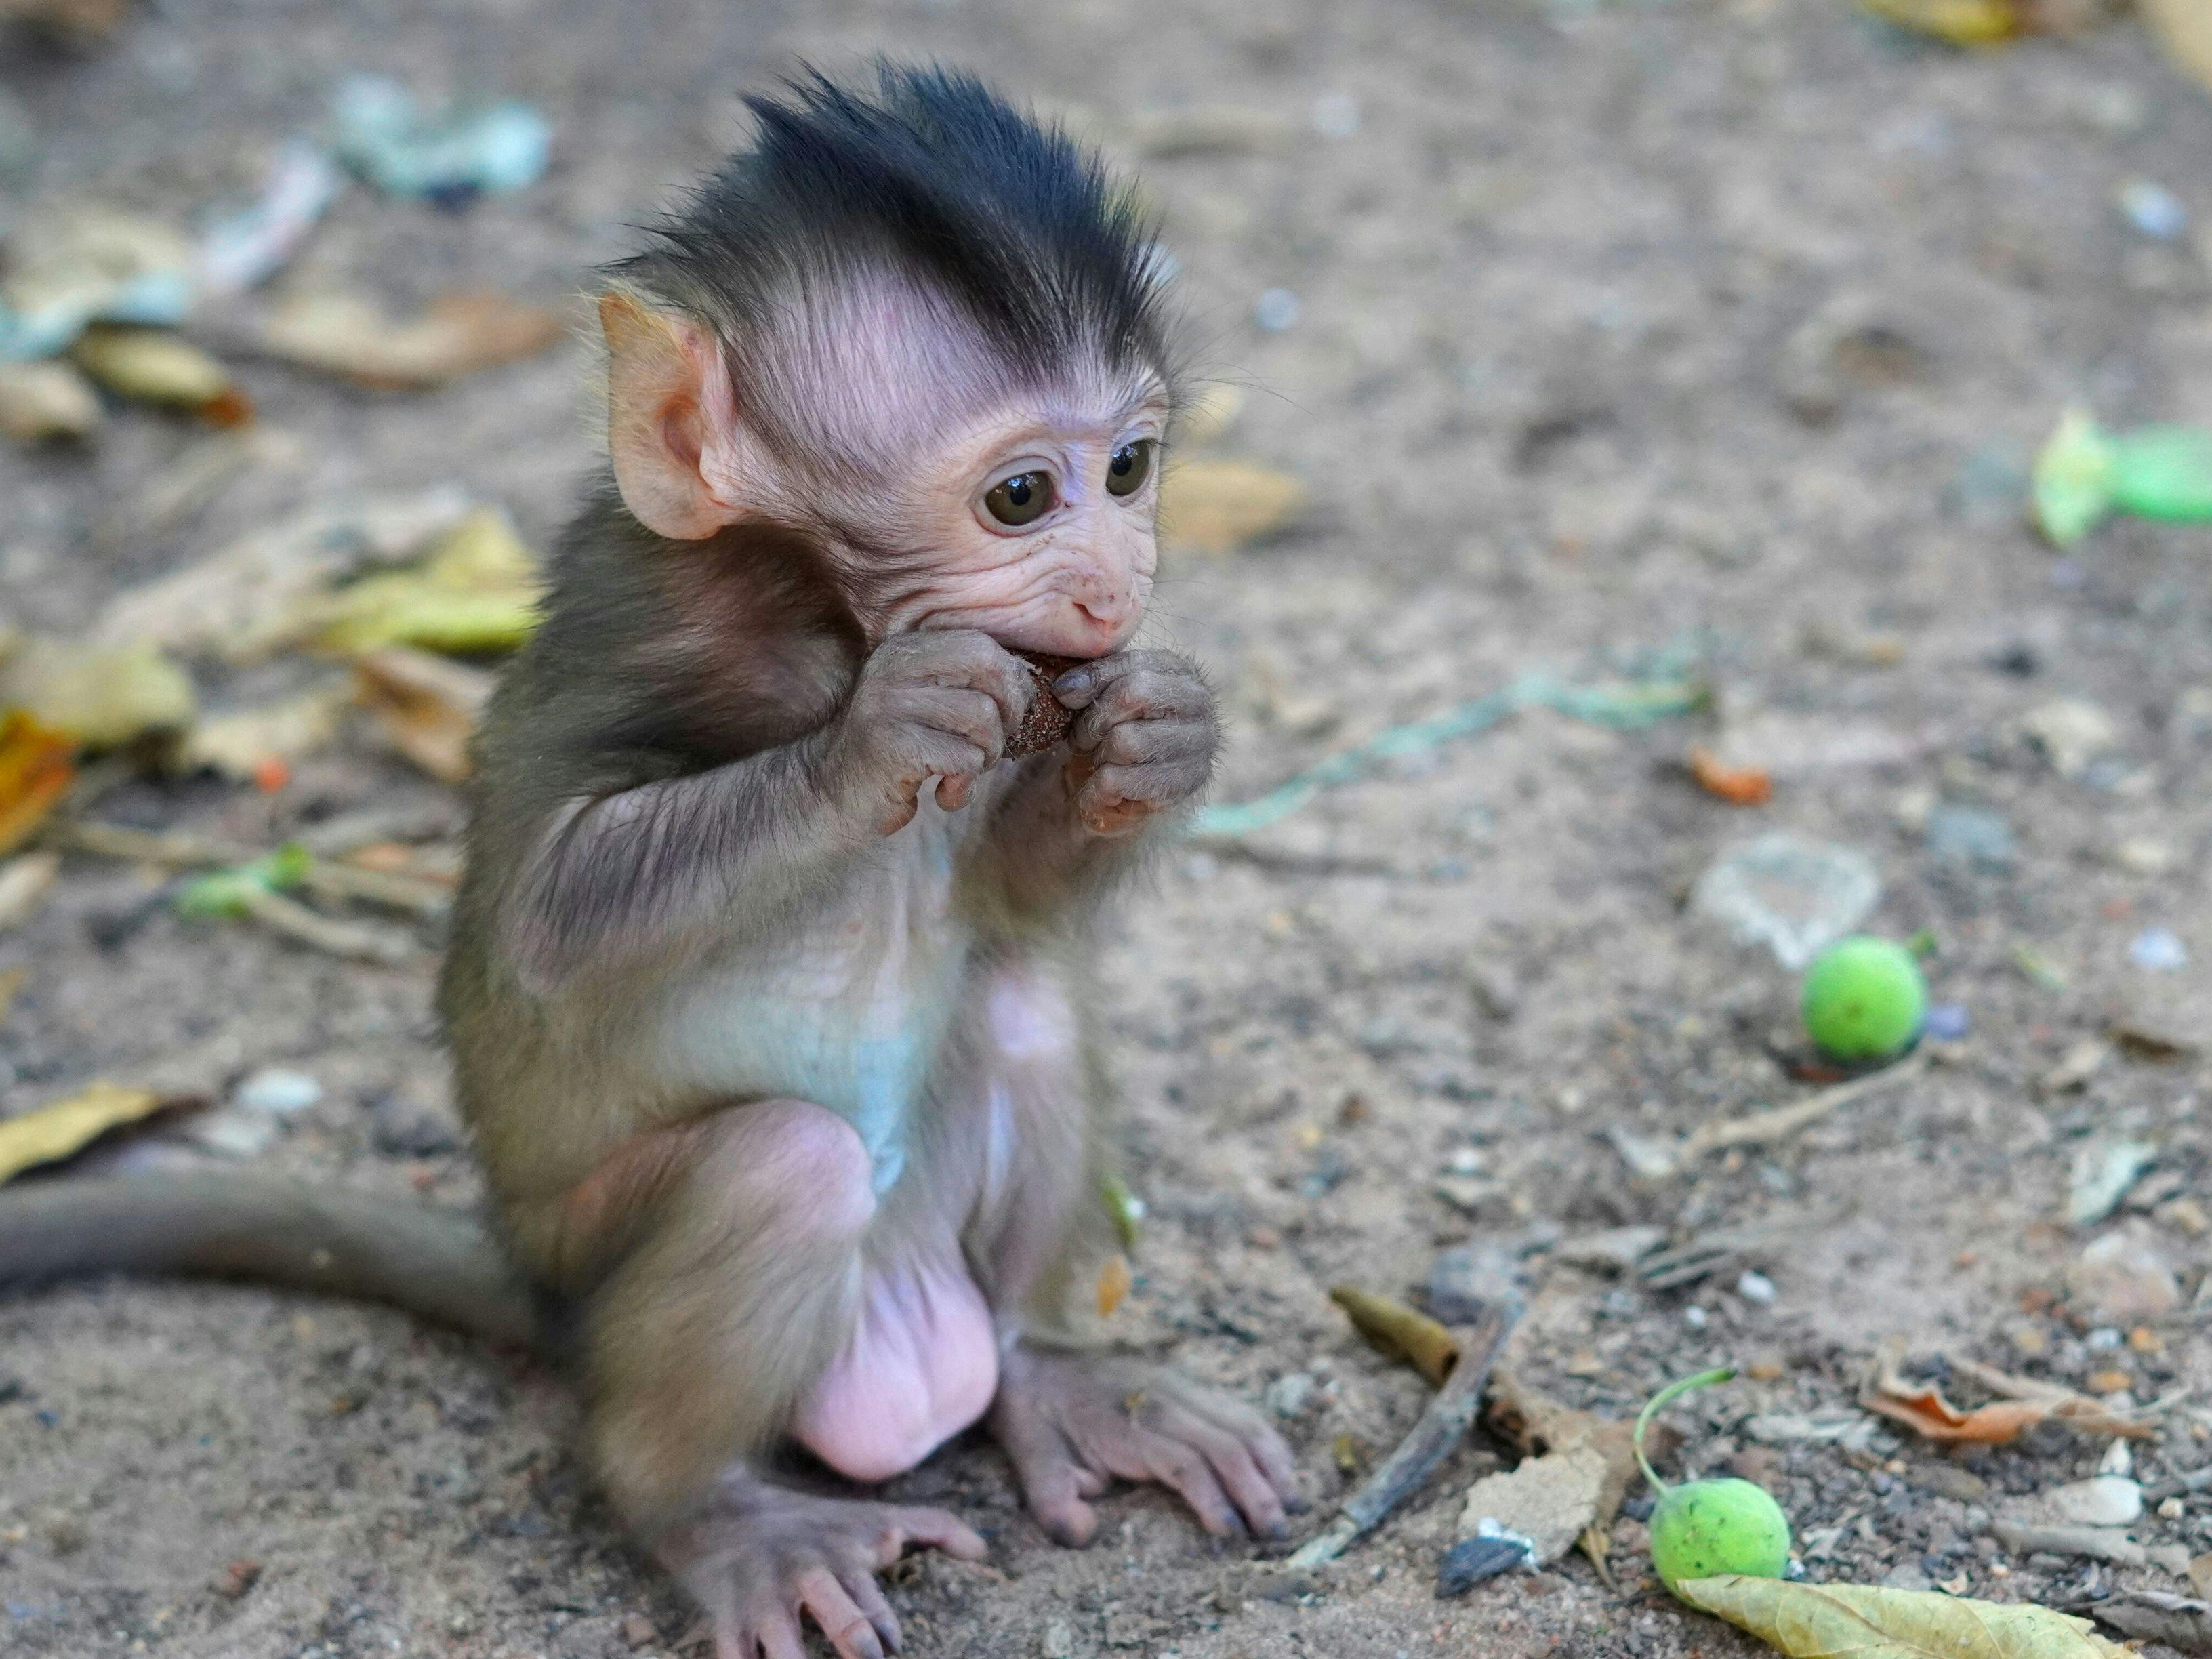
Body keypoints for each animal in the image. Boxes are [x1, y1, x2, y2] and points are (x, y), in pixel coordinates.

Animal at [0, 67, 1300, 1659]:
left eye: (1128, 467)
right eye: (1018, 498)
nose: (1118, 584)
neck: (825, 609)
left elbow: (1007, 899)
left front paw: (1159, 736)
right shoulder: (651, 624)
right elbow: (549, 921)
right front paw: (876, 739)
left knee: (1020, 1006)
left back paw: (1053, 1370)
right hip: (598, 1263)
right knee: (776, 1169)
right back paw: (711, 1512)